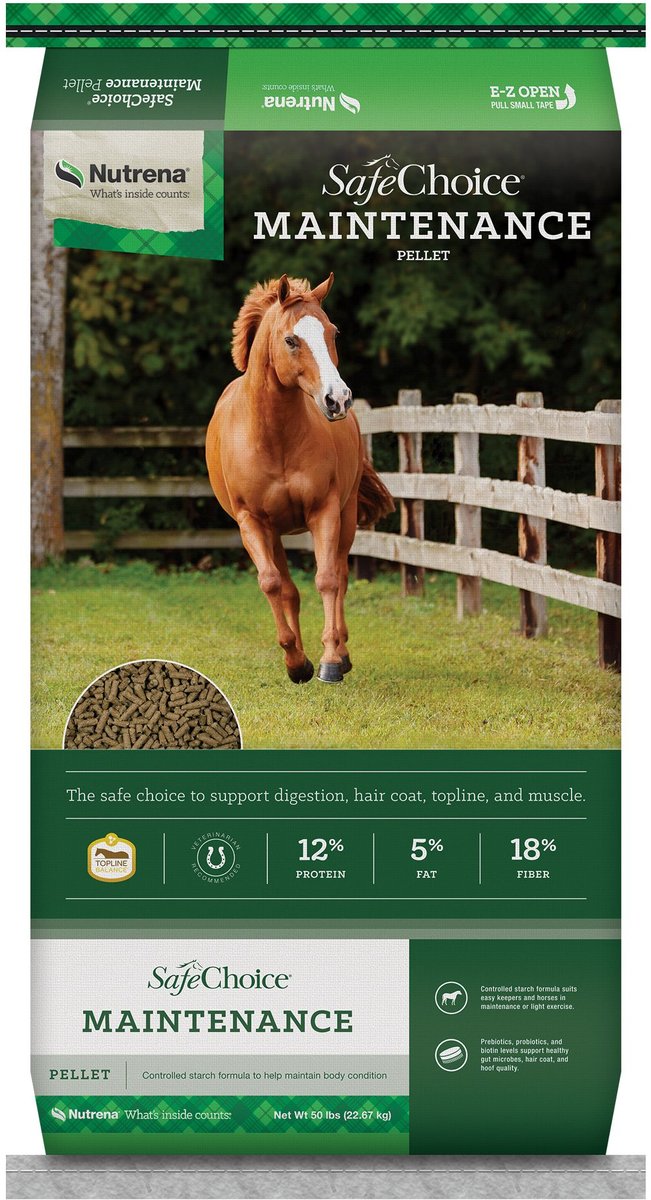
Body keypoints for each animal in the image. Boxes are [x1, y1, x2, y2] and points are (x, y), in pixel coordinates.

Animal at [206, 273, 394, 683]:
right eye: (291, 339)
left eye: (333, 333)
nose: (337, 399)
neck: (275, 437)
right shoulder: (252, 522)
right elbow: (273, 584)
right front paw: (296, 662)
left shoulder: (324, 511)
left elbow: (327, 579)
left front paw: (329, 661)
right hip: (276, 532)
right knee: (288, 588)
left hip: (347, 515)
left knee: (340, 574)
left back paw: (341, 653)